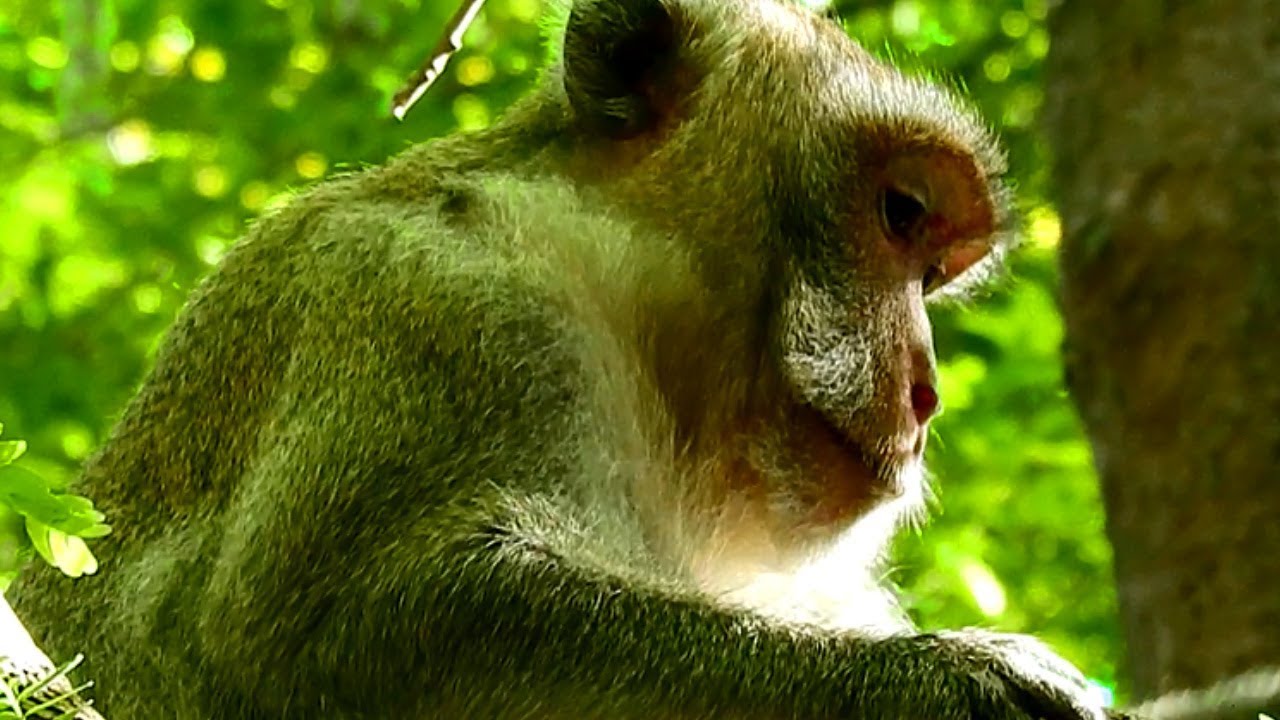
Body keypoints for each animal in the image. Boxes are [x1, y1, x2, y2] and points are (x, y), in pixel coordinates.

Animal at [7, 0, 1116, 717]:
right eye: (901, 213)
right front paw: (933, 680)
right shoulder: (434, 303)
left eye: (936, 271)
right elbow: (316, 633)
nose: (925, 395)